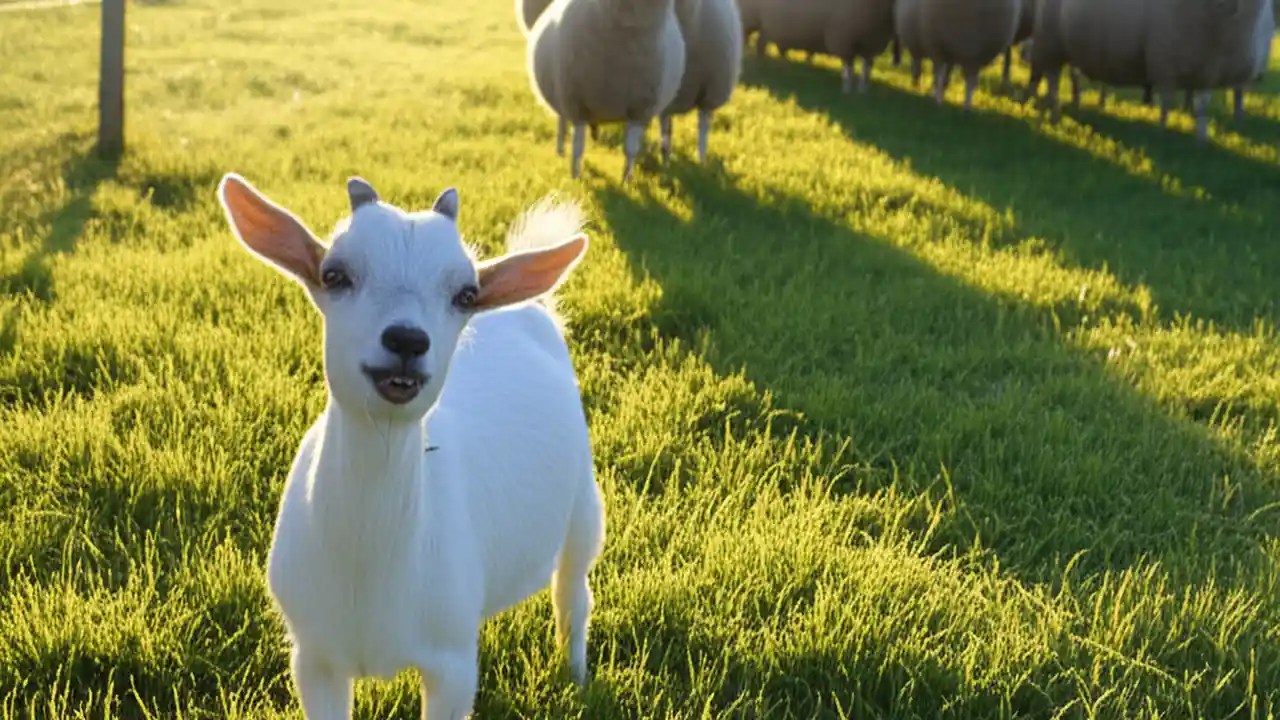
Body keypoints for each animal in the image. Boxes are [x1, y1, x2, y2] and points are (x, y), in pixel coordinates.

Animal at [217, 174, 605, 720]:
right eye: (334, 274)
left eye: (465, 294)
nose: (406, 339)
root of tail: (530, 307)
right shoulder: (313, 658)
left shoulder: (452, 665)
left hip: (584, 505)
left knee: (573, 590)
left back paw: (576, 676)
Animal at [527, 0, 686, 180]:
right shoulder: (577, 103)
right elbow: (578, 146)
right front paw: (575, 176)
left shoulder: (640, 109)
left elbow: (631, 149)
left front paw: (627, 179)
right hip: (563, 96)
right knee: (562, 123)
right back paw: (560, 150)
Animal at [755, 0, 897, 93]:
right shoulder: (844, 39)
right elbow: (849, 65)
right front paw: (847, 89)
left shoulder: (871, 44)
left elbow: (867, 67)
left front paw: (863, 89)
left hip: (764, 26)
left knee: (761, 43)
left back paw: (762, 63)